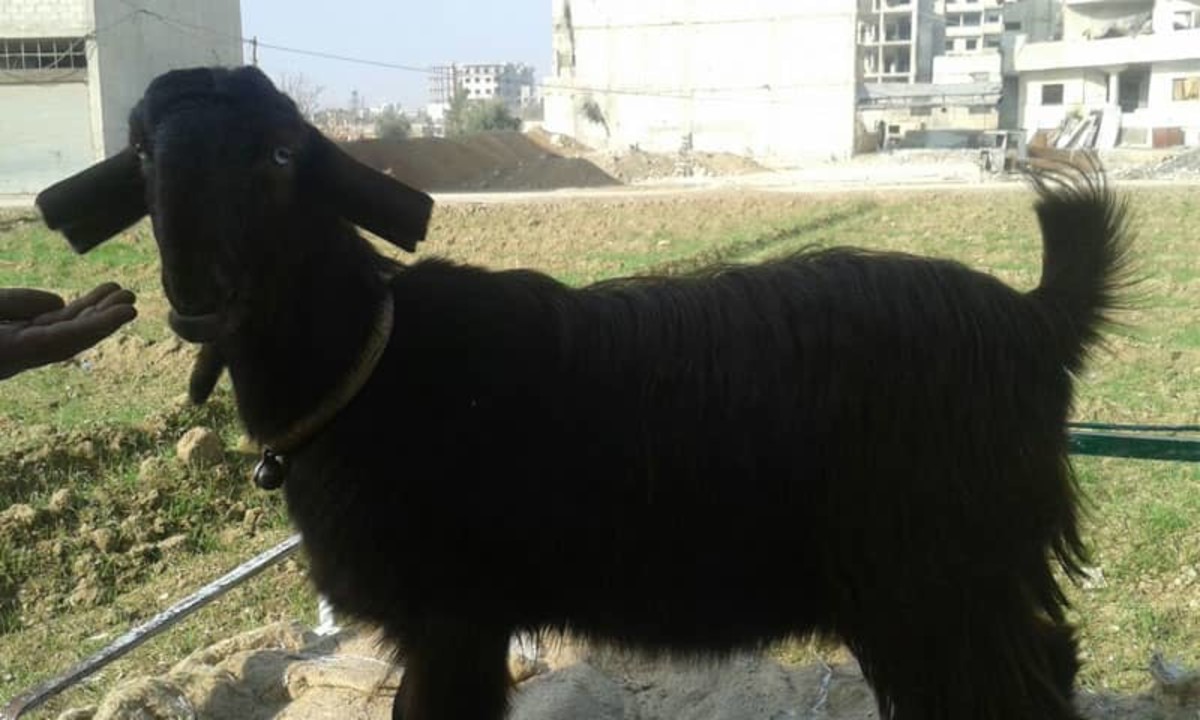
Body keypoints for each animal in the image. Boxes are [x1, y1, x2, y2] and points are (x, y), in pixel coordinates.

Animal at [36, 65, 1132, 720]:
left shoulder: (454, 615)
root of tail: (1037, 315)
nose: (200, 294)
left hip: (944, 579)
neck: (374, 362)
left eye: (278, 155)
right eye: (144, 152)